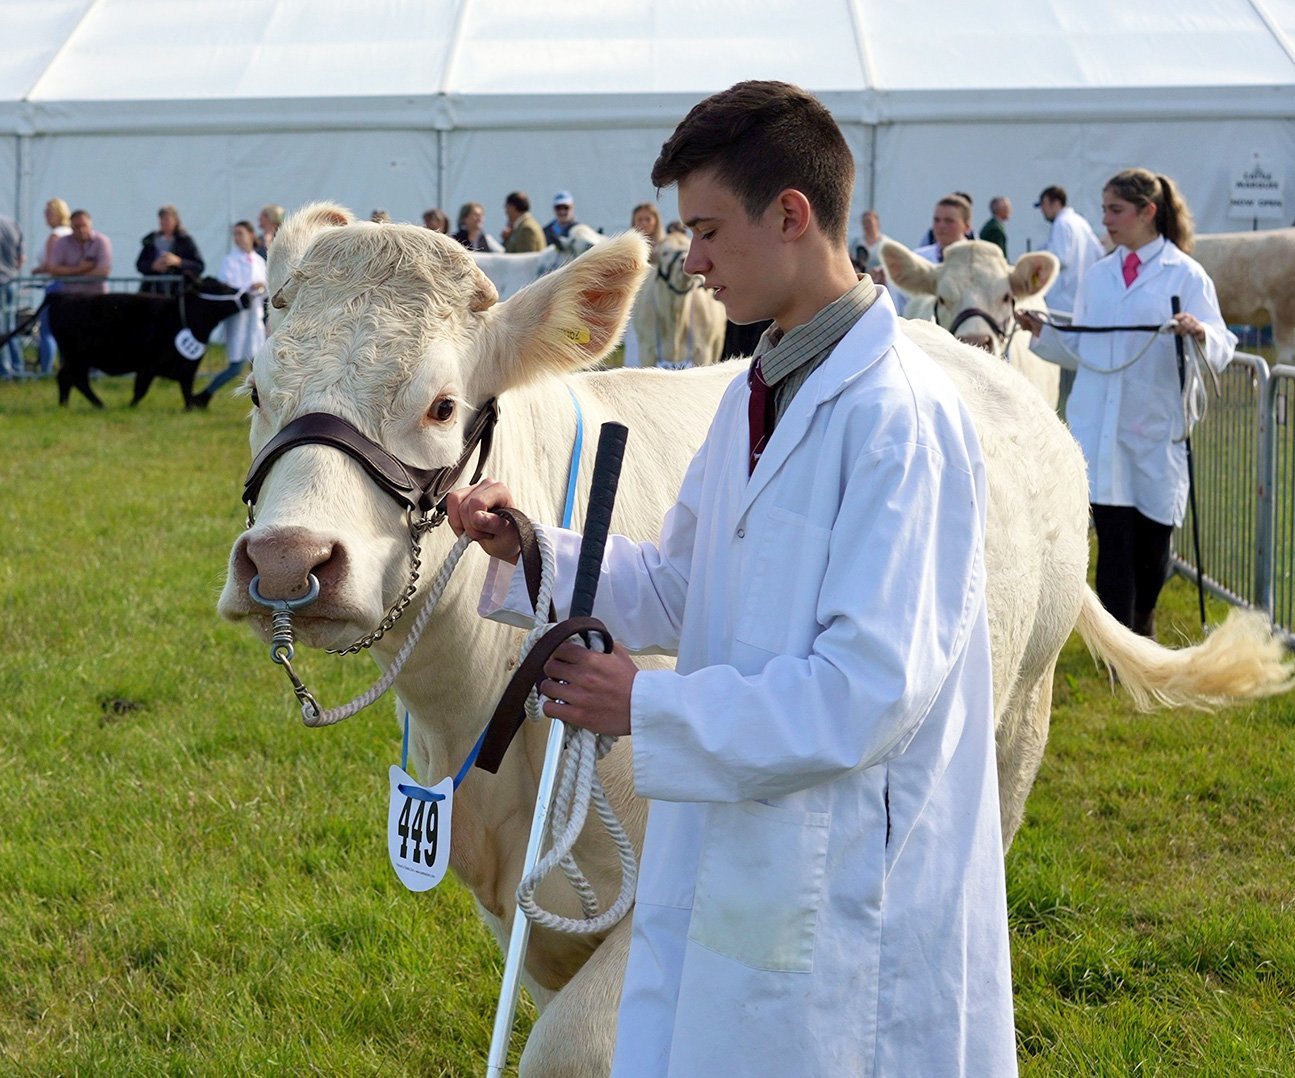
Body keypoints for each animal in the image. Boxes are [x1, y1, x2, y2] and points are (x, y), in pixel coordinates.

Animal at [51, 276, 257, 409]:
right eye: (221, 287)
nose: (247, 296)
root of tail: (63, 297)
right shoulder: (147, 366)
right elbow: (140, 390)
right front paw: (131, 406)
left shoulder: (189, 367)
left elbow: (187, 389)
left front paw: (190, 407)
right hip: (77, 358)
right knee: (73, 378)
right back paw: (94, 404)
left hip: (77, 359)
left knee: (67, 378)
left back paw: (67, 404)